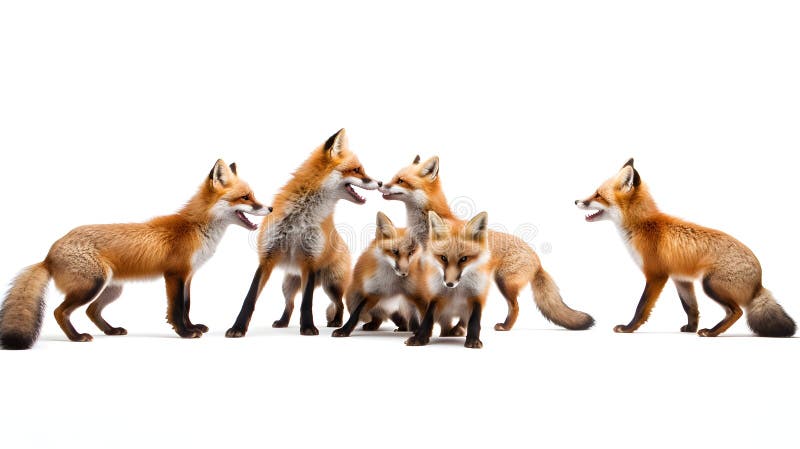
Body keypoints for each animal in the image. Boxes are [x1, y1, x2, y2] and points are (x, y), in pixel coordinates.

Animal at [0, 159, 270, 349]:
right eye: (246, 197)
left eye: (253, 195)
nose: (269, 208)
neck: (196, 228)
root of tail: (47, 255)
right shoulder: (174, 275)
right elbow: (176, 309)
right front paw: (184, 332)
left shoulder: (188, 276)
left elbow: (187, 306)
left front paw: (192, 326)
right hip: (92, 285)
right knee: (59, 312)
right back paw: (77, 337)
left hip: (112, 289)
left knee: (91, 311)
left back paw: (110, 331)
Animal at [225, 129, 380, 337]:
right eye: (357, 170)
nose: (380, 182)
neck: (300, 216)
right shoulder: (266, 258)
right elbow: (249, 299)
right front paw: (238, 327)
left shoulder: (310, 261)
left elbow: (307, 303)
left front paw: (307, 327)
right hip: (288, 286)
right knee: (290, 305)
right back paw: (283, 322)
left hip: (332, 285)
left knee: (339, 304)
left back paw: (336, 322)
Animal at [380, 155, 594, 333]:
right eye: (393, 178)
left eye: (400, 181)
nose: (382, 184)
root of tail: (537, 259)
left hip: (504, 282)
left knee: (515, 307)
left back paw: (502, 327)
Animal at [405, 211, 495, 349]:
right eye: (443, 258)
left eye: (464, 259)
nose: (449, 284)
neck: (456, 292)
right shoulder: (436, 295)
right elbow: (428, 318)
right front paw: (420, 337)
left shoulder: (477, 295)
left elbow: (474, 320)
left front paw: (473, 339)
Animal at [575, 158, 796, 337]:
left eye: (597, 195)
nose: (576, 200)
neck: (642, 225)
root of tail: (759, 281)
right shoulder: (680, 278)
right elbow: (690, 307)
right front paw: (691, 328)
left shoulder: (656, 274)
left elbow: (642, 306)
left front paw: (629, 328)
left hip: (710, 284)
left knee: (737, 311)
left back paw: (711, 332)